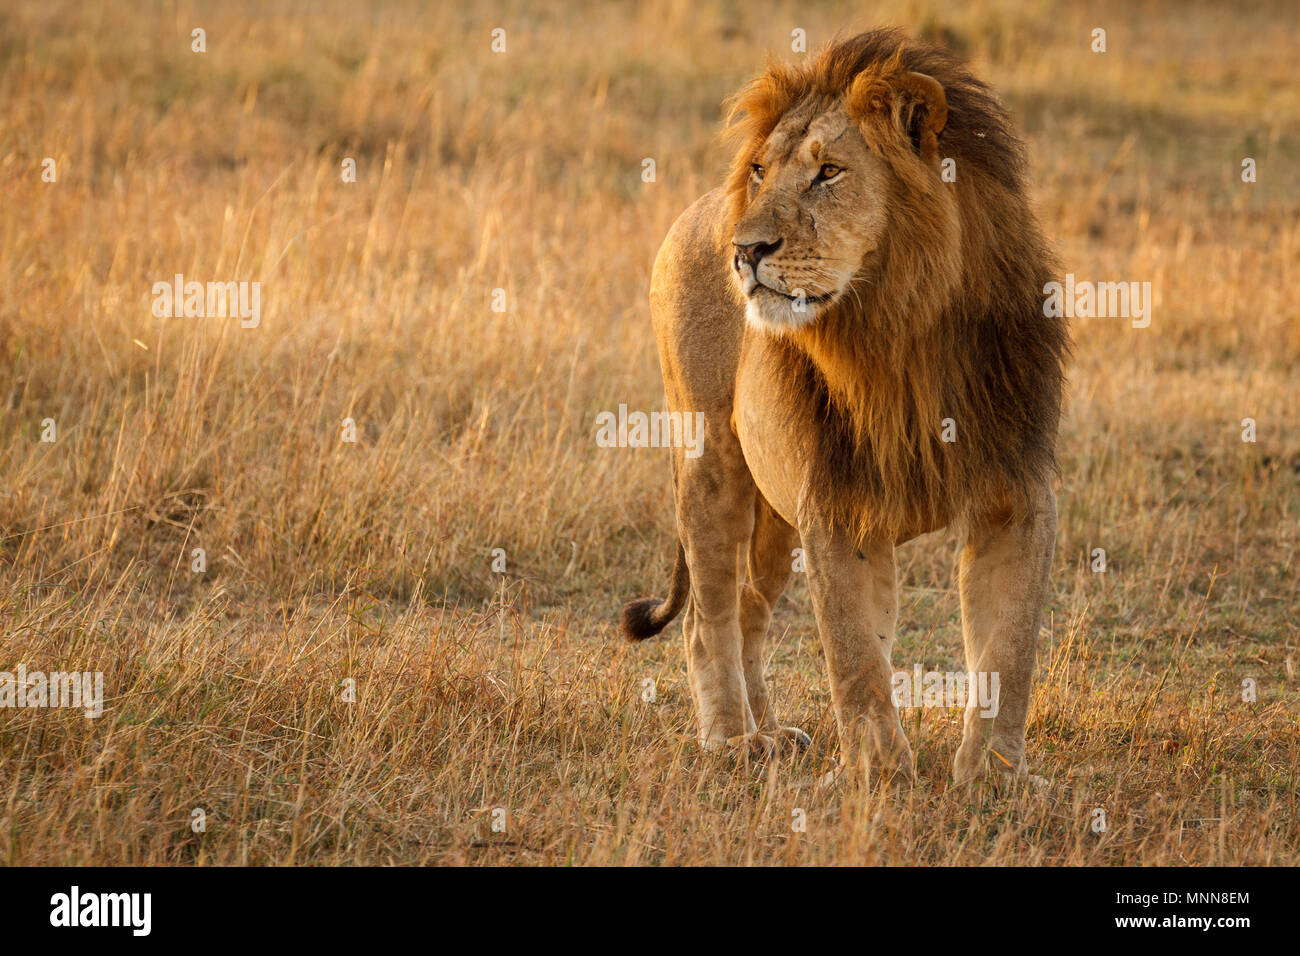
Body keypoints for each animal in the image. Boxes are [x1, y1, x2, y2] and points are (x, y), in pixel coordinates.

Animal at [620, 29, 1069, 786]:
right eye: (762, 172)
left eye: (829, 172)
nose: (746, 250)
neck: (902, 329)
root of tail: (704, 205)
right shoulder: (838, 499)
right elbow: (856, 656)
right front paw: (877, 778)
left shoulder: (1016, 493)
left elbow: (1008, 652)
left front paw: (996, 778)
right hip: (710, 463)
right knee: (707, 618)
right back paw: (733, 742)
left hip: (775, 514)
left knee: (749, 607)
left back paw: (771, 733)